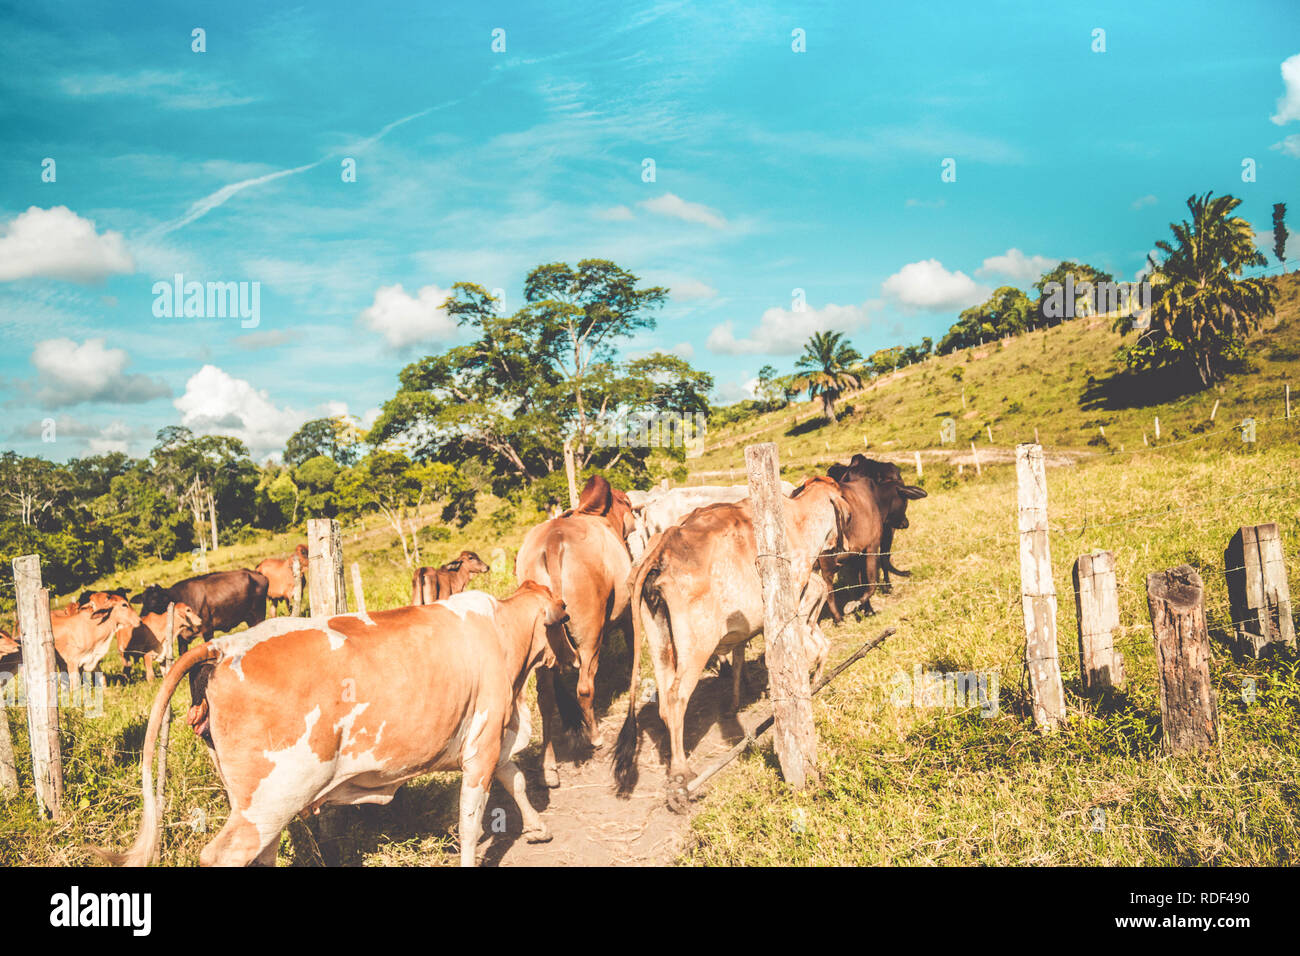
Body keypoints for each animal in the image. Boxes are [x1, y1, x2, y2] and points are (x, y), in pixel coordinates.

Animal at [96, 581, 578, 867]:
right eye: (566, 619)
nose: (574, 659)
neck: (502, 635)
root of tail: (224, 646)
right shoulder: (483, 743)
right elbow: (471, 819)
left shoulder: (494, 739)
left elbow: (515, 780)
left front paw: (538, 828)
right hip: (273, 798)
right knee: (222, 855)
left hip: (254, 803)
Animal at [132, 569, 269, 651]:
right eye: (143, 600)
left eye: (156, 599)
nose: (142, 617)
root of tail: (255, 573)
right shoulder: (182, 638)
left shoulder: (208, 630)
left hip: (259, 614)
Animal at [515, 474, 636, 787]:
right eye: (627, 503)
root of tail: (554, 542)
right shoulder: (629, 614)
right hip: (589, 635)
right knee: (584, 687)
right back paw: (594, 737)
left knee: (545, 698)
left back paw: (549, 768)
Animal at [614, 476, 851, 809]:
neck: (796, 519)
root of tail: (661, 549)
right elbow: (795, 651)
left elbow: (740, 659)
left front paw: (738, 700)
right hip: (696, 646)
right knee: (675, 698)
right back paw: (682, 772)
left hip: (659, 642)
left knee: (663, 701)